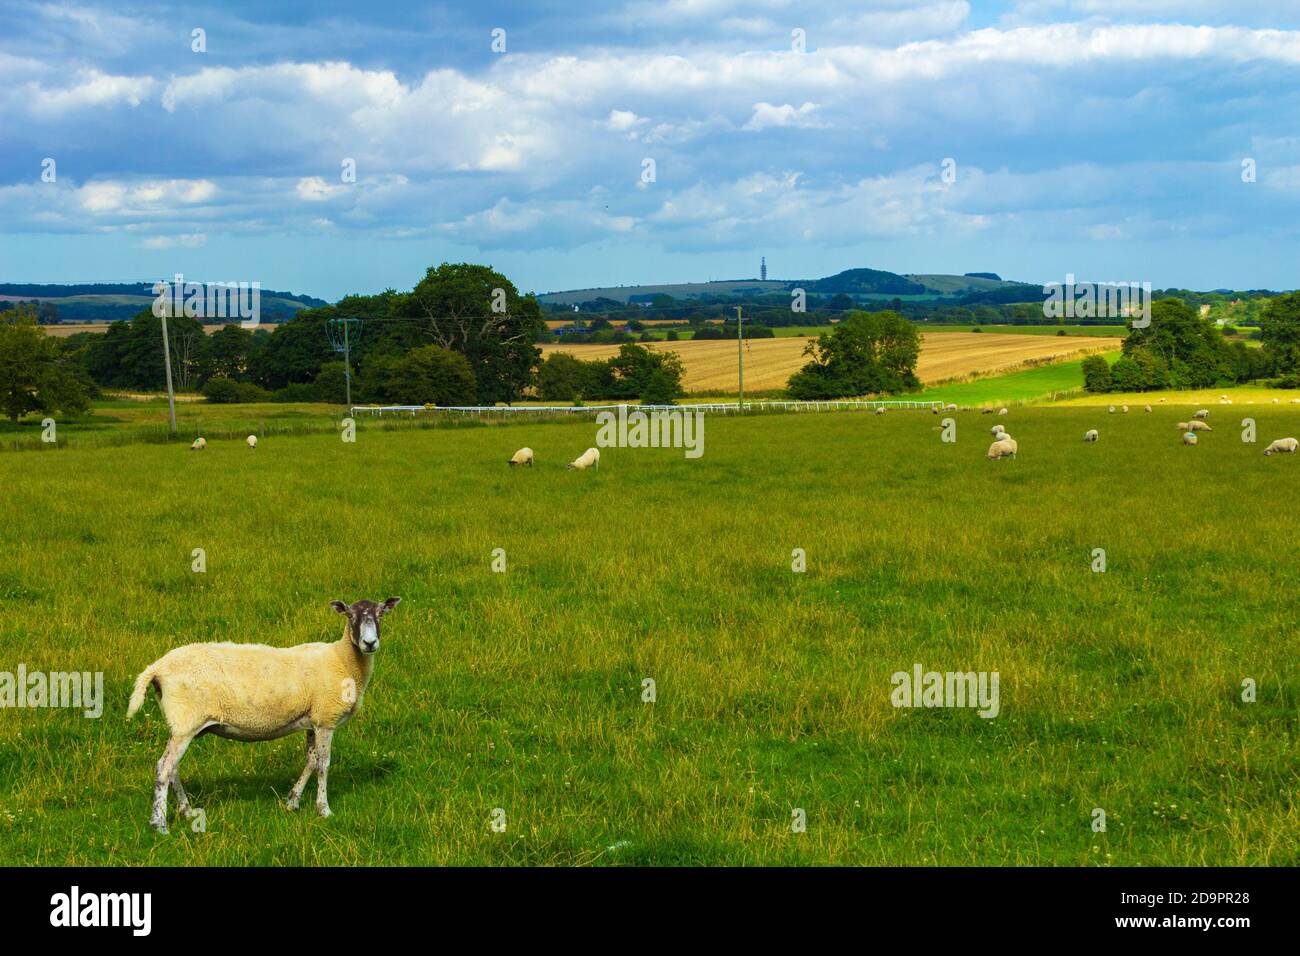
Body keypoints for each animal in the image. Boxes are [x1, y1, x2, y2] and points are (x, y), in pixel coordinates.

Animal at [127, 596, 402, 832]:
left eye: (381, 614)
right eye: (350, 616)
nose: (369, 643)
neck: (343, 661)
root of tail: (156, 668)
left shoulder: (312, 720)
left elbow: (311, 761)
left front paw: (292, 800)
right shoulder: (326, 719)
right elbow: (323, 764)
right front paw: (323, 809)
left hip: (182, 724)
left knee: (172, 768)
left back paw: (186, 811)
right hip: (186, 721)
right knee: (164, 768)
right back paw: (160, 824)